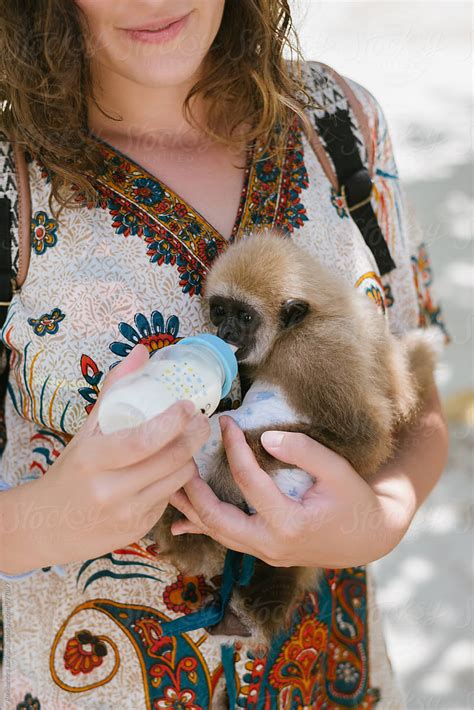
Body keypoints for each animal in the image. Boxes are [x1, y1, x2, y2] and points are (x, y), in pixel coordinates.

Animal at [151, 230, 439, 646]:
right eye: (220, 311)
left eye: (245, 316)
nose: (226, 333)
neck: (292, 333)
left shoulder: (316, 352)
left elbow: (365, 442)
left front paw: (231, 464)